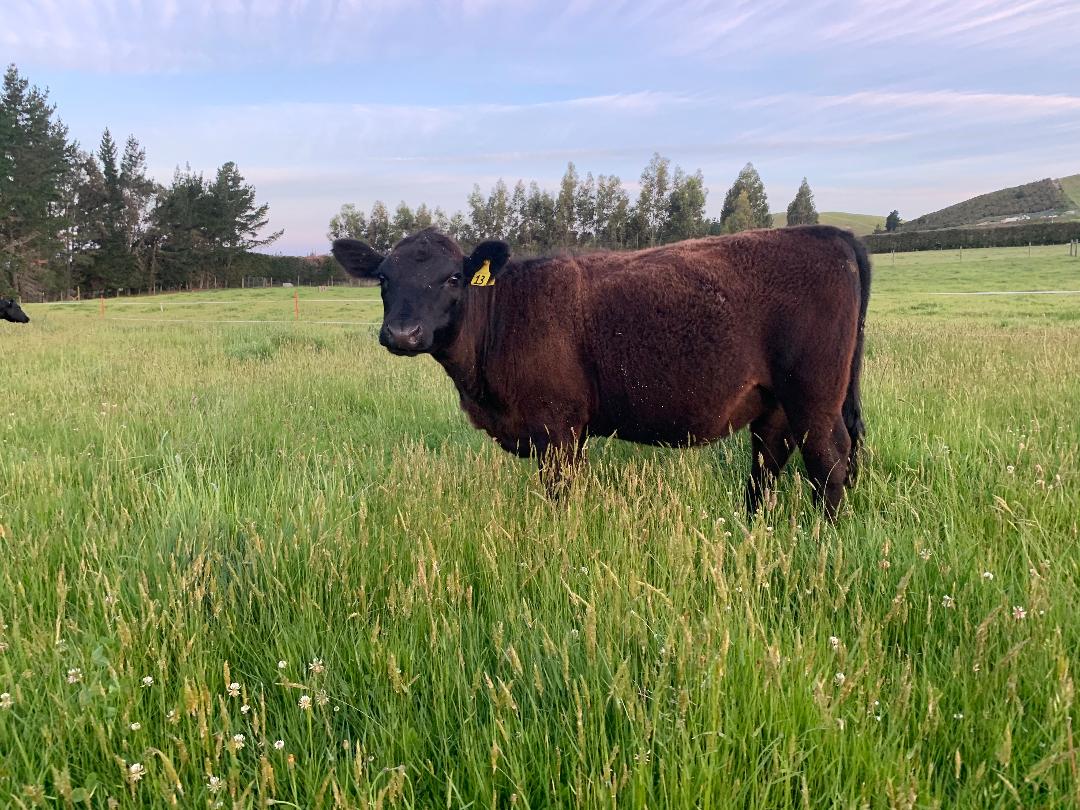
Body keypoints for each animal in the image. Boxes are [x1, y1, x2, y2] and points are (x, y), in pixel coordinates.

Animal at [332, 226, 870, 516]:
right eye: (383, 278)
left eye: (451, 278)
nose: (403, 333)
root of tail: (829, 233)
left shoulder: (558, 430)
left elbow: (560, 496)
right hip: (774, 401)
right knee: (768, 461)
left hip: (814, 396)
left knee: (829, 462)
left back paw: (823, 542)